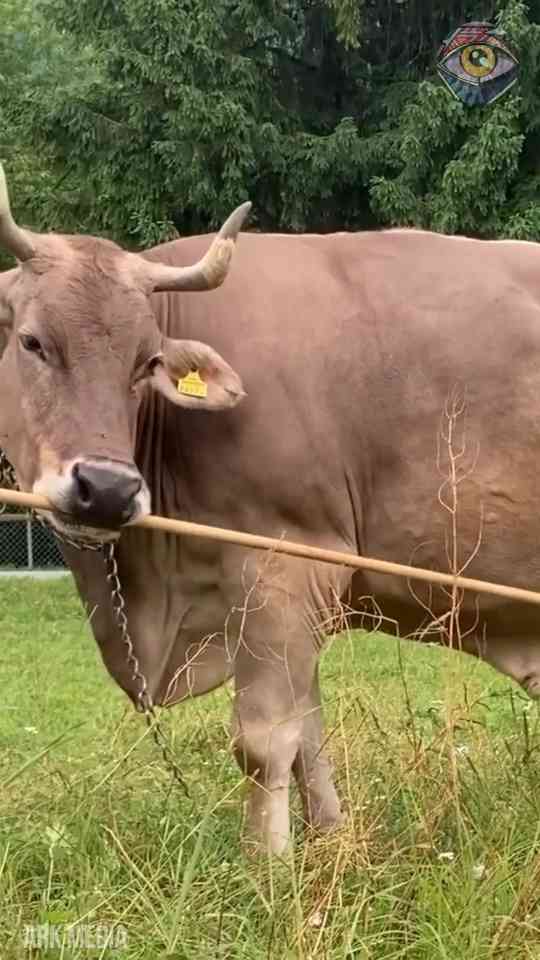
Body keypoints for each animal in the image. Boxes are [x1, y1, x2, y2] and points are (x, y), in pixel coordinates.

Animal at [2, 163, 540, 855]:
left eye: (147, 362)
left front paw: (266, 863)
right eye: (32, 341)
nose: (108, 487)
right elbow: (308, 733)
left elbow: (266, 740)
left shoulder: (285, 566)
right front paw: (327, 842)